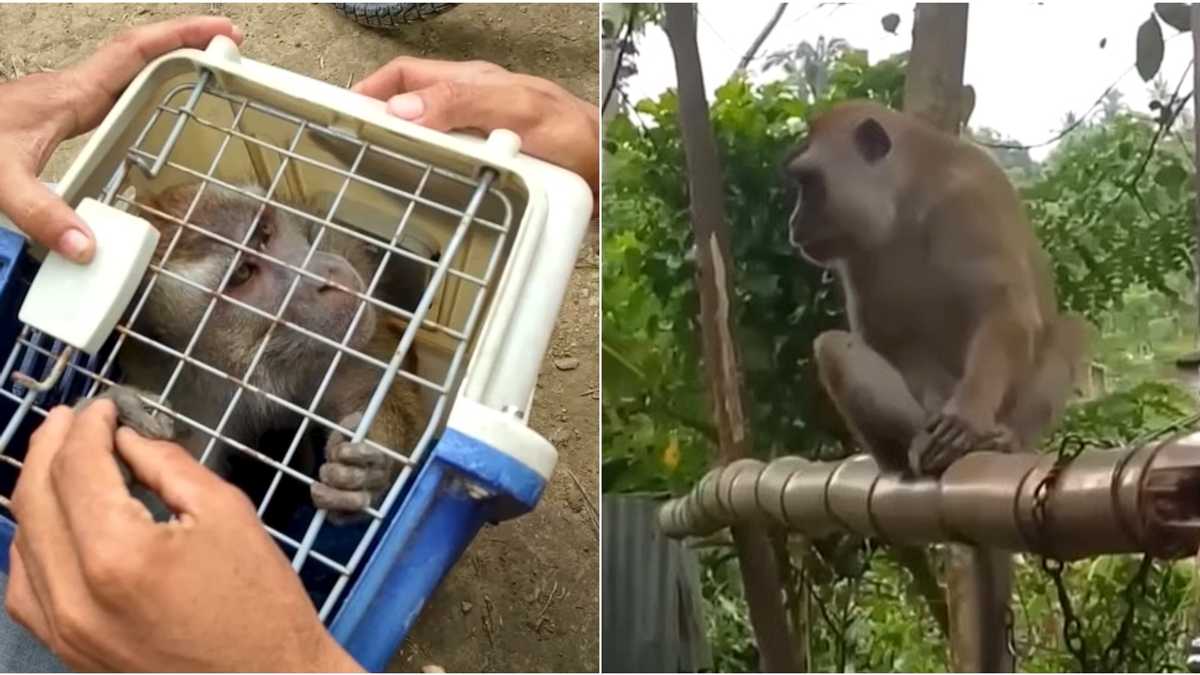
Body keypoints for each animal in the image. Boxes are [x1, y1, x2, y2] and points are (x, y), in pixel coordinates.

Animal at [84, 181, 423, 524]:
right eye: (243, 274)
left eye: (266, 233)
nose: (326, 278)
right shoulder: (184, 401)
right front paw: (116, 426)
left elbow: (375, 390)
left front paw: (369, 468)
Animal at [782, 100, 1088, 670]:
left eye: (808, 184)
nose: (794, 221)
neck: (905, 200)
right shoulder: (860, 258)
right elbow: (893, 344)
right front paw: (937, 422)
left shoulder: (967, 201)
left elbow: (1006, 312)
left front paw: (965, 417)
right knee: (833, 347)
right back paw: (908, 452)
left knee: (1072, 330)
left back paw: (998, 439)